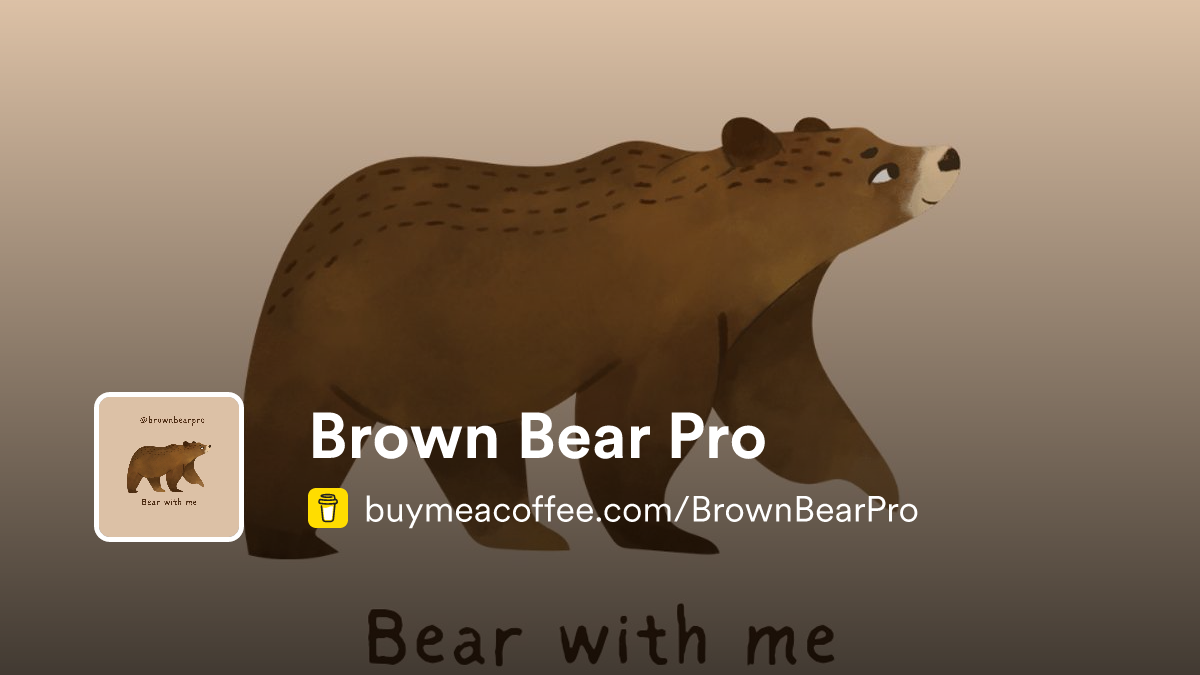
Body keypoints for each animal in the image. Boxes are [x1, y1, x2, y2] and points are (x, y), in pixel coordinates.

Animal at [243, 115, 960, 558]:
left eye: (875, 136)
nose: (947, 154)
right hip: (335, 341)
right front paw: (670, 532)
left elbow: (787, 402)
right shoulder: (665, 318)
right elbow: (640, 422)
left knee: (475, 445)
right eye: (877, 165)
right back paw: (293, 541)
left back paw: (527, 535)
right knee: (298, 434)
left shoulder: (760, 313)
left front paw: (873, 485)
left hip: (459, 360)